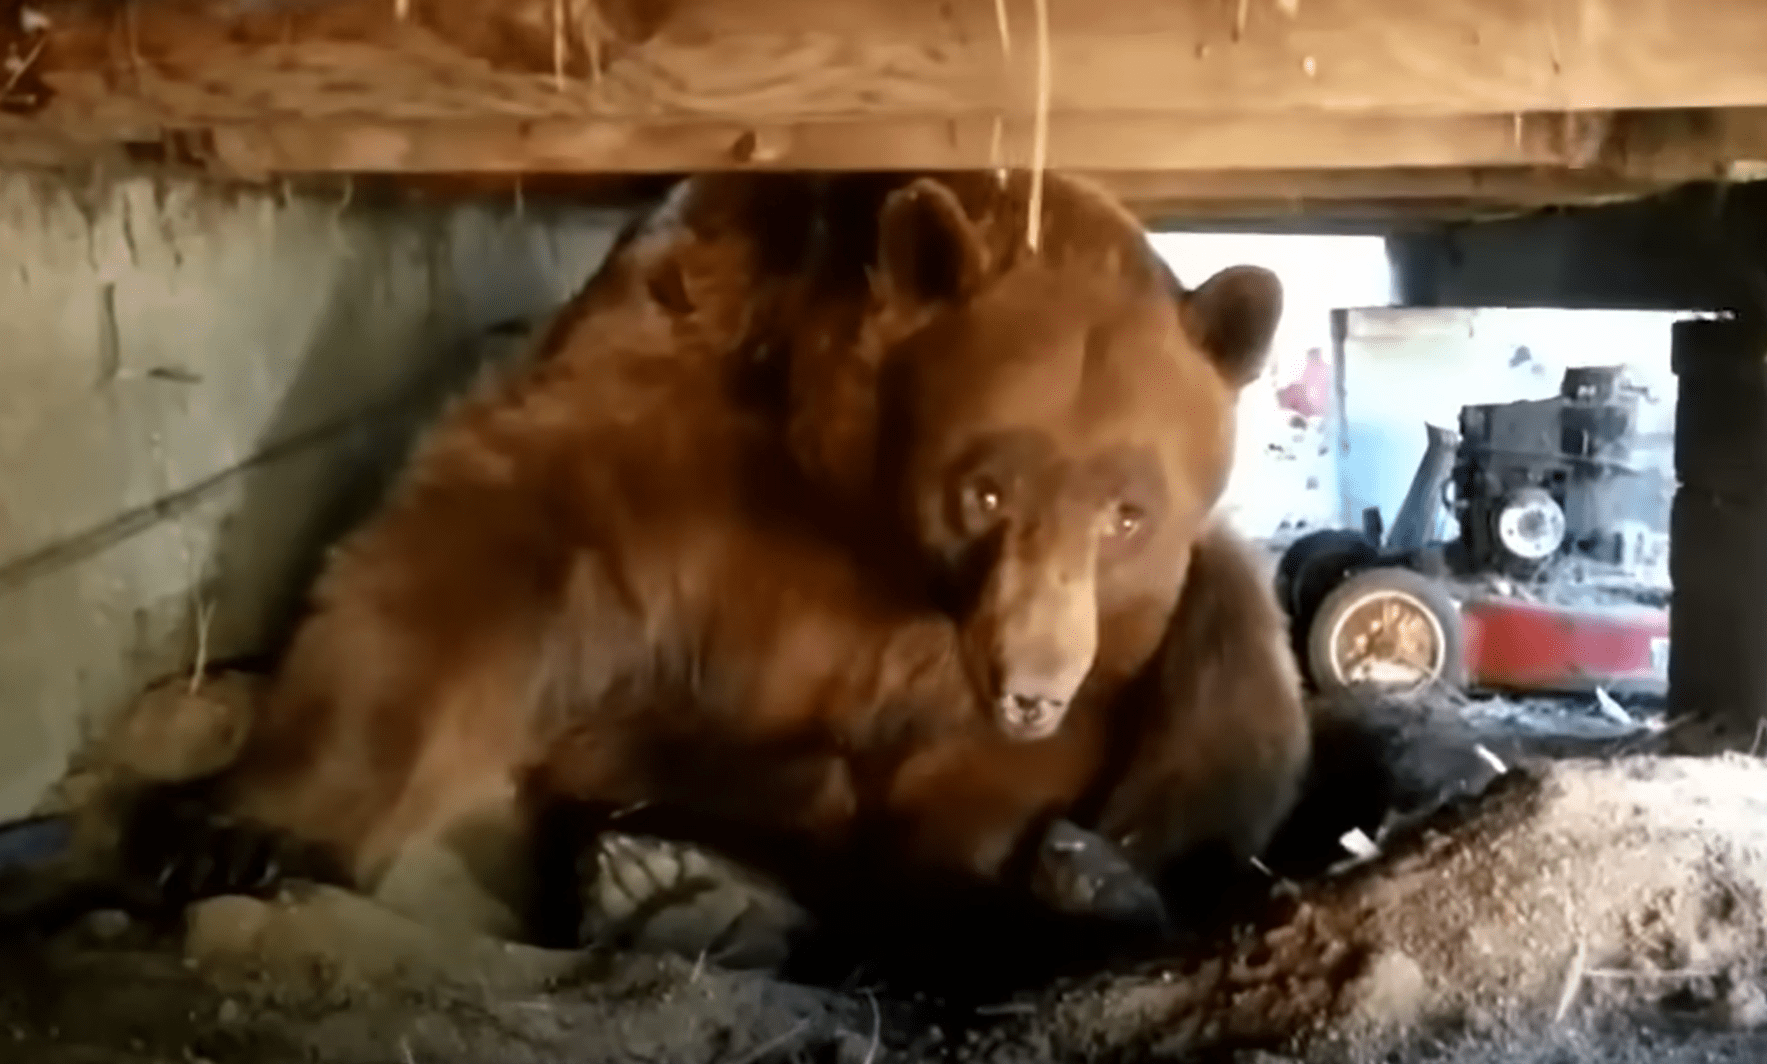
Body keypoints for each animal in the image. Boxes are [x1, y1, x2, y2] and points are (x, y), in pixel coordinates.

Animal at [107, 169, 1307, 965]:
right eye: (986, 490)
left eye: (1127, 514)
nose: (1030, 687)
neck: (853, 496)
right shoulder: (674, 401)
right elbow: (469, 559)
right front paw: (230, 831)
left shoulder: (1079, 630)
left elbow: (1015, 760)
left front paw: (1013, 874)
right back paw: (669, 872)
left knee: (1240, 648)